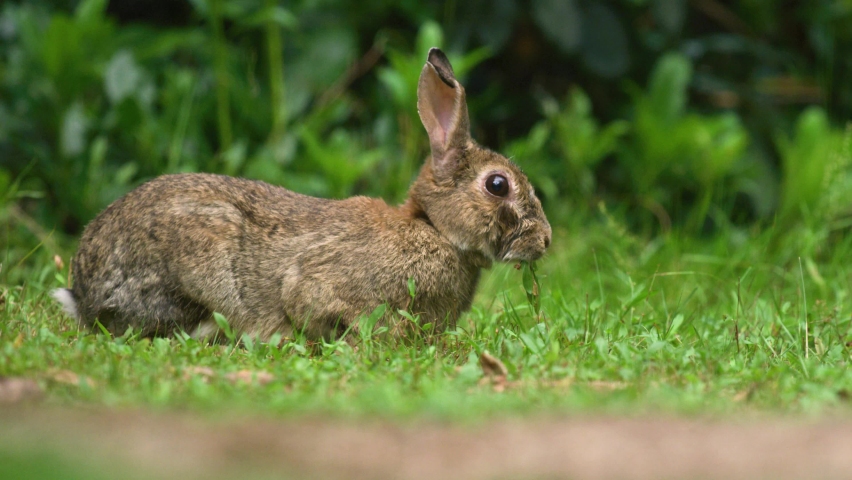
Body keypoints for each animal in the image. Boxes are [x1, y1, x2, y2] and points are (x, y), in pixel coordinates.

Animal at [52, 48, 551, 341]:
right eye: (497, 185)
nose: (545, 241)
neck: (434, 229)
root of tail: (84, 295)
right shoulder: (323, 287)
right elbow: (309, 301)